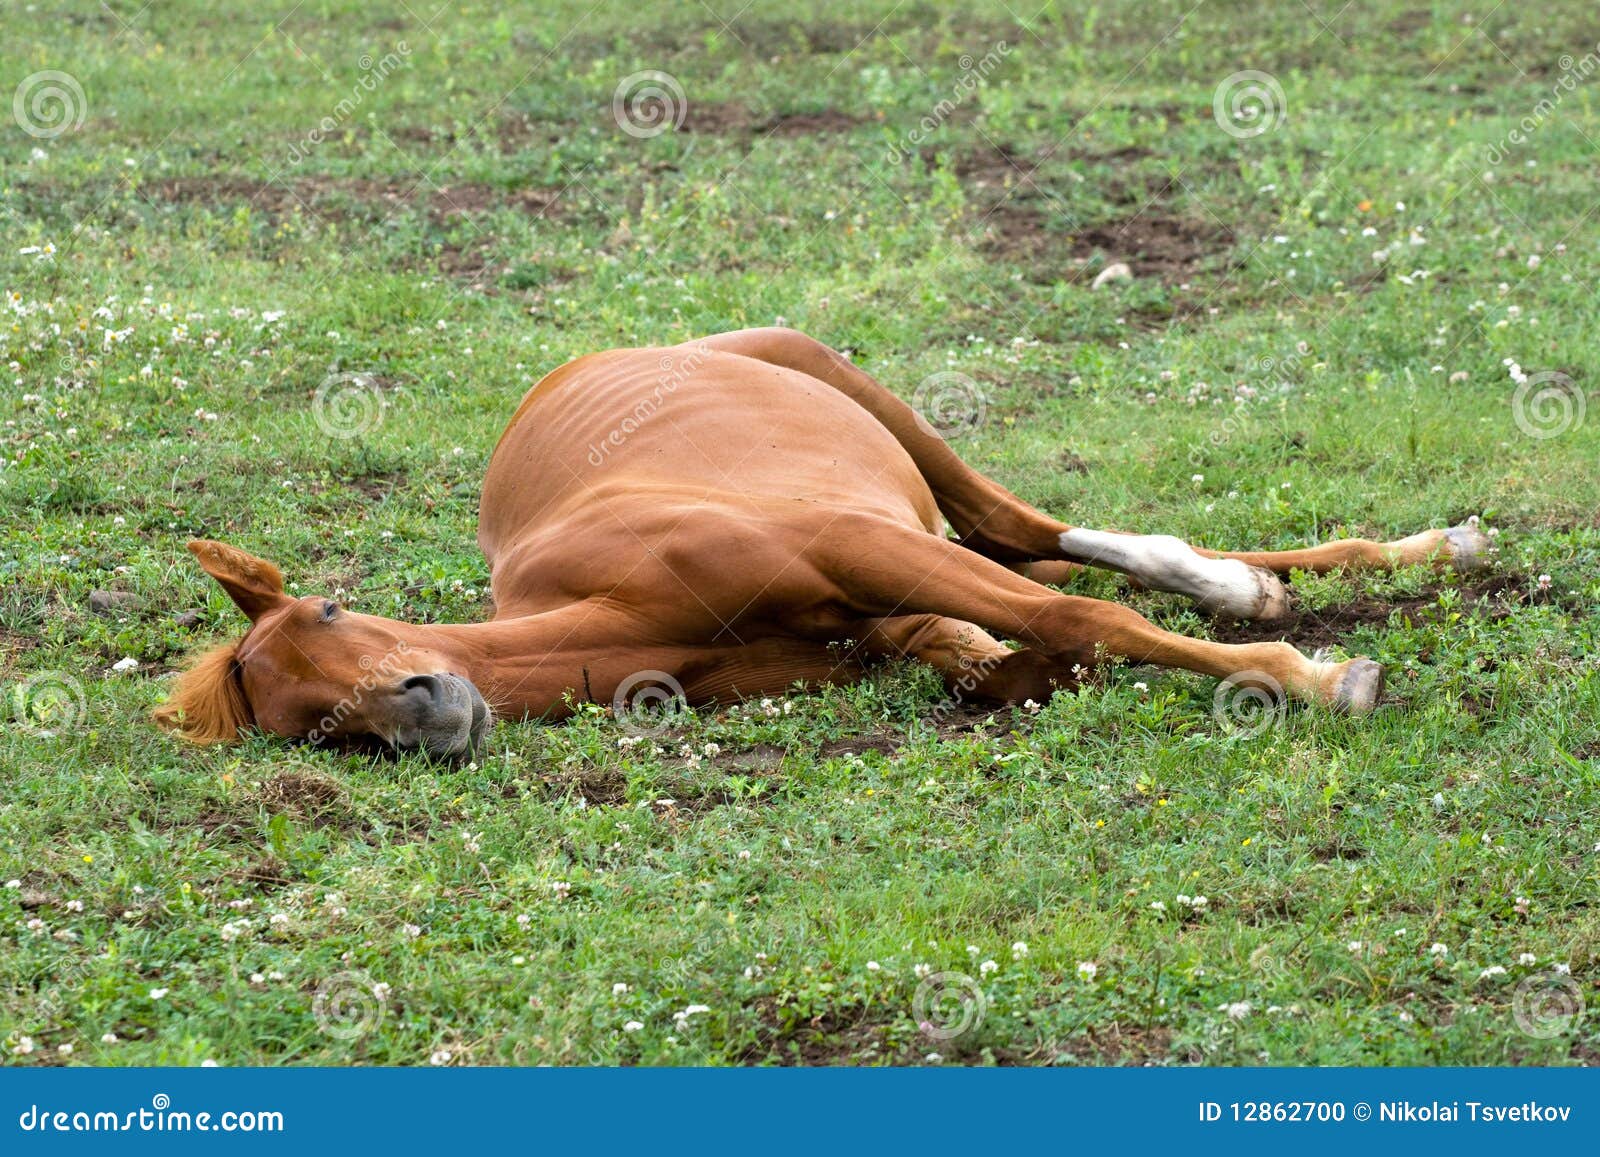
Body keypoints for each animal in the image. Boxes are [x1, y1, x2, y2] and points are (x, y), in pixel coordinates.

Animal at [155, 327, 1490, 759]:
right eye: (312, 723)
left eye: (329, 611)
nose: (431, 708)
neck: (628, 606)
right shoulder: (868, 618)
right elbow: (1009, 647)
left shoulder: (859, 546)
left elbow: (1078, 616)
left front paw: (1316, 679)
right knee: (1036, 555)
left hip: (851, 393)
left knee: (1024, 531)